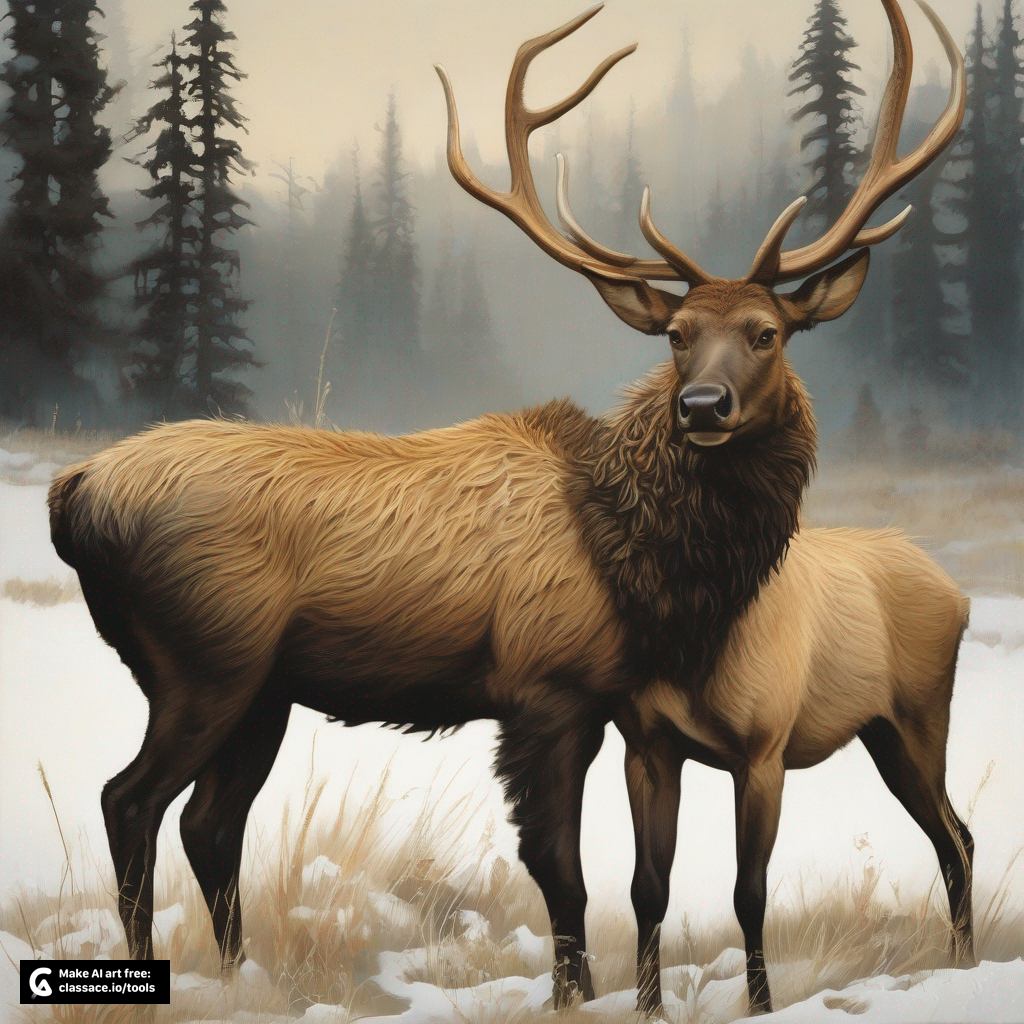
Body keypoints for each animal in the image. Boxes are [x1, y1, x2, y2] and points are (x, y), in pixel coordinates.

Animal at [47, 0, 961, 1009]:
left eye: (768, 332)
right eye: (678, 335)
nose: (701, 407)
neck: (641, 555)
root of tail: (73, 495)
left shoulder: (600, 708)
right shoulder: (544, 690)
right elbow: (561, 871)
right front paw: (573, 996)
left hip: (261, 690)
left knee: (209, 824)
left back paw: (251, 980)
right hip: (202, 664)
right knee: (129, 800)